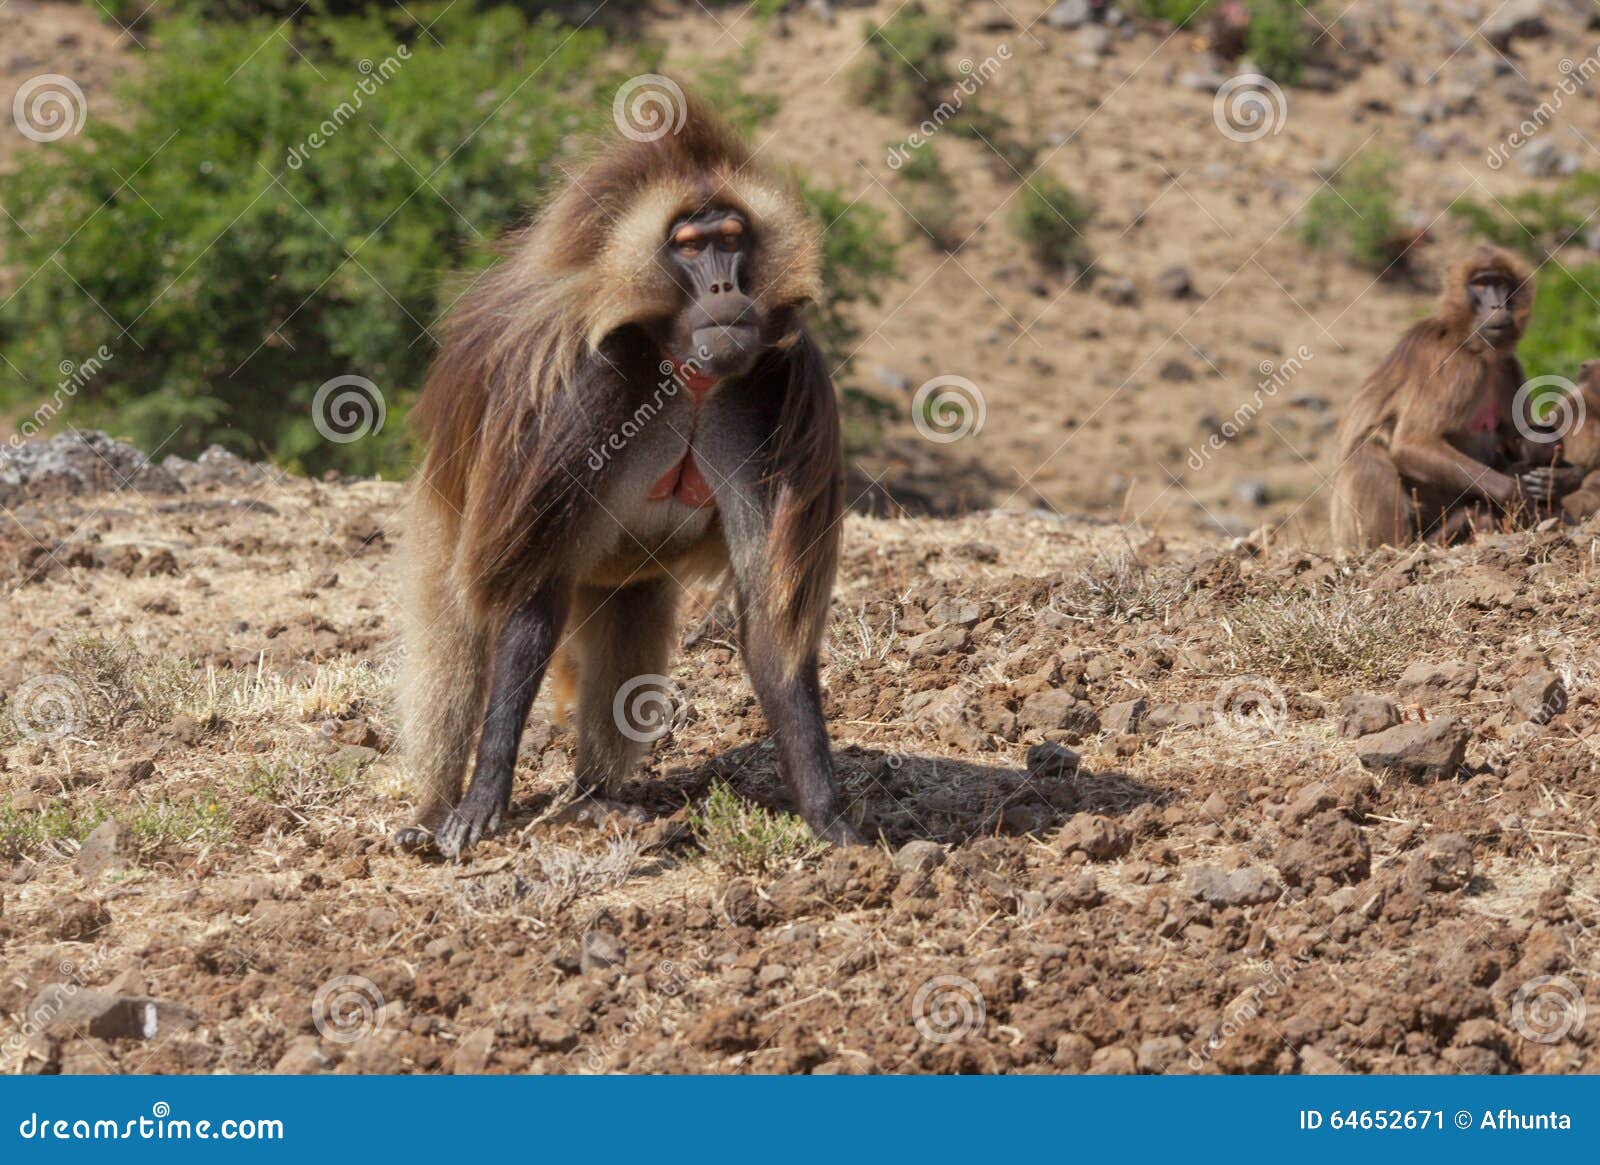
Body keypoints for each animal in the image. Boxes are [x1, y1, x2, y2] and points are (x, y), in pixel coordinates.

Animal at [394, 92, 863, 857]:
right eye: (691, 246)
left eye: (733, 237)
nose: (726, 286)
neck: (688, 372)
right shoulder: (588, 388)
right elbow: (529, 594)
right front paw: (485, 795)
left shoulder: (781, 386)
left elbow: (770, 617)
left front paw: (827, 816)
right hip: (446, 515)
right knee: (454, 638)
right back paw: (435, 807)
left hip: (625, 581)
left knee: (626, 646)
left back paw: (594, 799)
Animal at [1330, 245, 1560, 552]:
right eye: (1481, 284)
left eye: (1501, 283)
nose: (1497, 306)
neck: (1472, 345)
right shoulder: (1456, 367)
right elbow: (1413, 445)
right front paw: (1520, 497)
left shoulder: (1508, 366)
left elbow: (1521, 444)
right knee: (1369, 451)